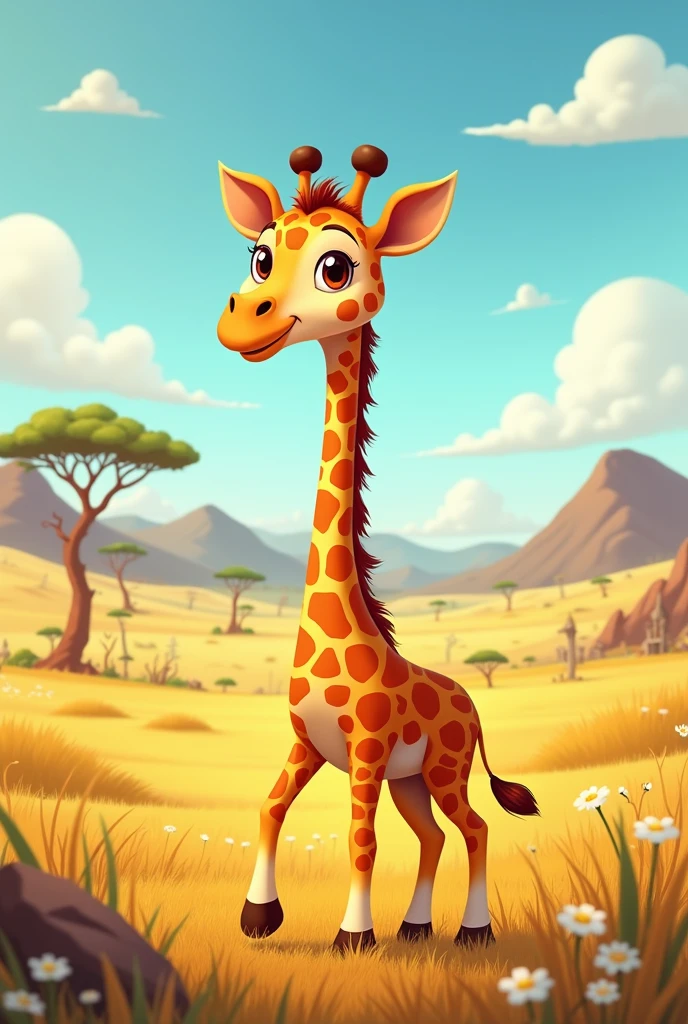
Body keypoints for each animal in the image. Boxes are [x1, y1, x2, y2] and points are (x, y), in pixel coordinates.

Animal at [216, 144, 539, 953]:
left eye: (337, 267)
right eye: (260, 256)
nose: (240, 321)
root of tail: (472, 706)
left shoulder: (362, 751)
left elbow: (358, 840)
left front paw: (351, 936)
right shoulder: (307, 743)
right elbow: (269, 807)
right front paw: (259, 915)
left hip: (443, 770)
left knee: (475, 829)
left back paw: (471, 932)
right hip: (412, 780)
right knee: (434, 835)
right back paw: (418, 927)